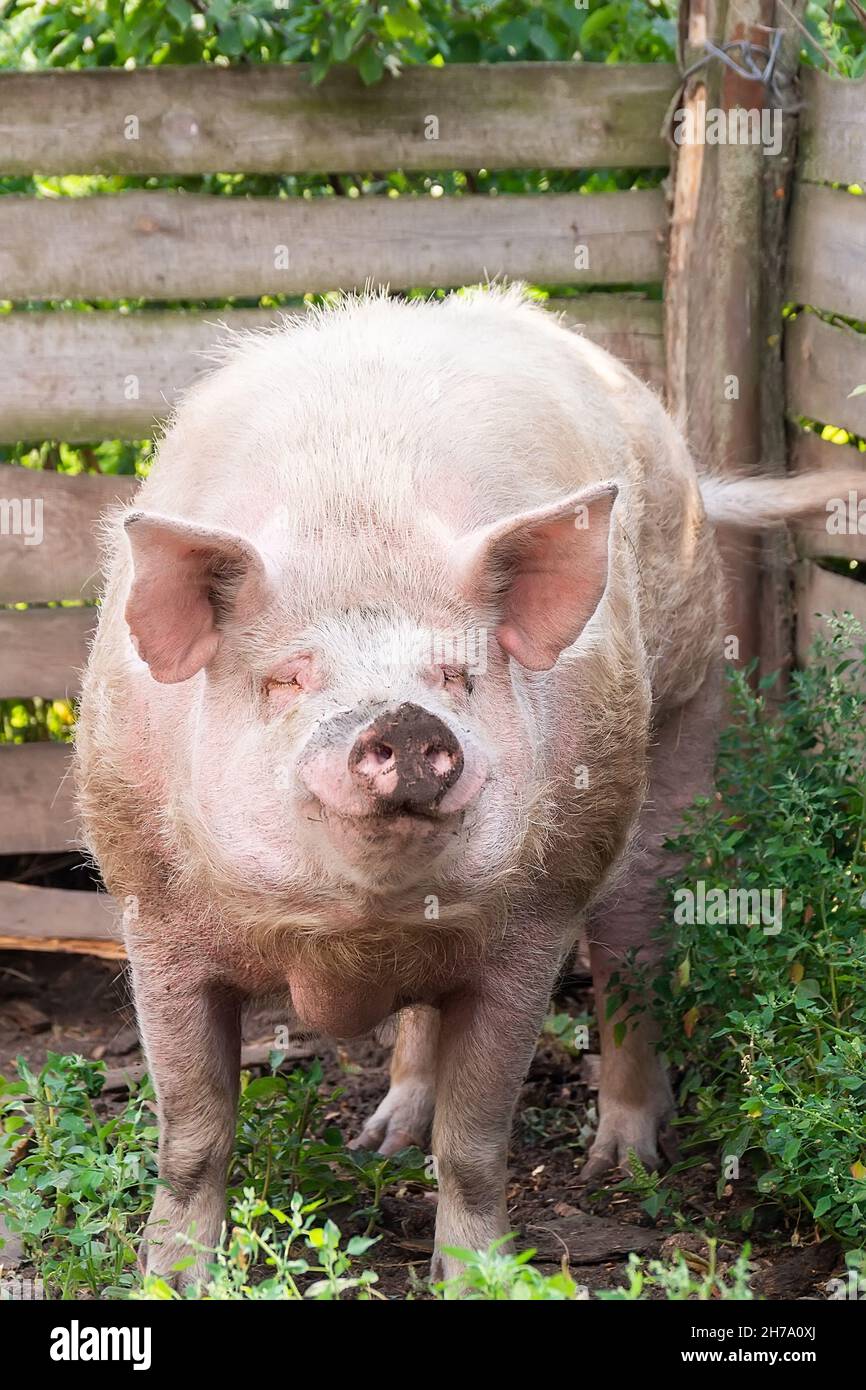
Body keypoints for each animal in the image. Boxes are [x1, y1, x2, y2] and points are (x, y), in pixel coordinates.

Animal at [75, 286, 859, 1287]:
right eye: (286, 678)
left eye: (460, 677)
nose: (407, 722)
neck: (358, 932)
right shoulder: (152, 912)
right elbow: (193, 1138)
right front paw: (172, 1281)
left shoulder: (531, 929)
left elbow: (478, 1143)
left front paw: (480, 1276)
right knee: (424, 1024)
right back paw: (381, 1140)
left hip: (686, 712)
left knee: (632, 950)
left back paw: (624, 1161)